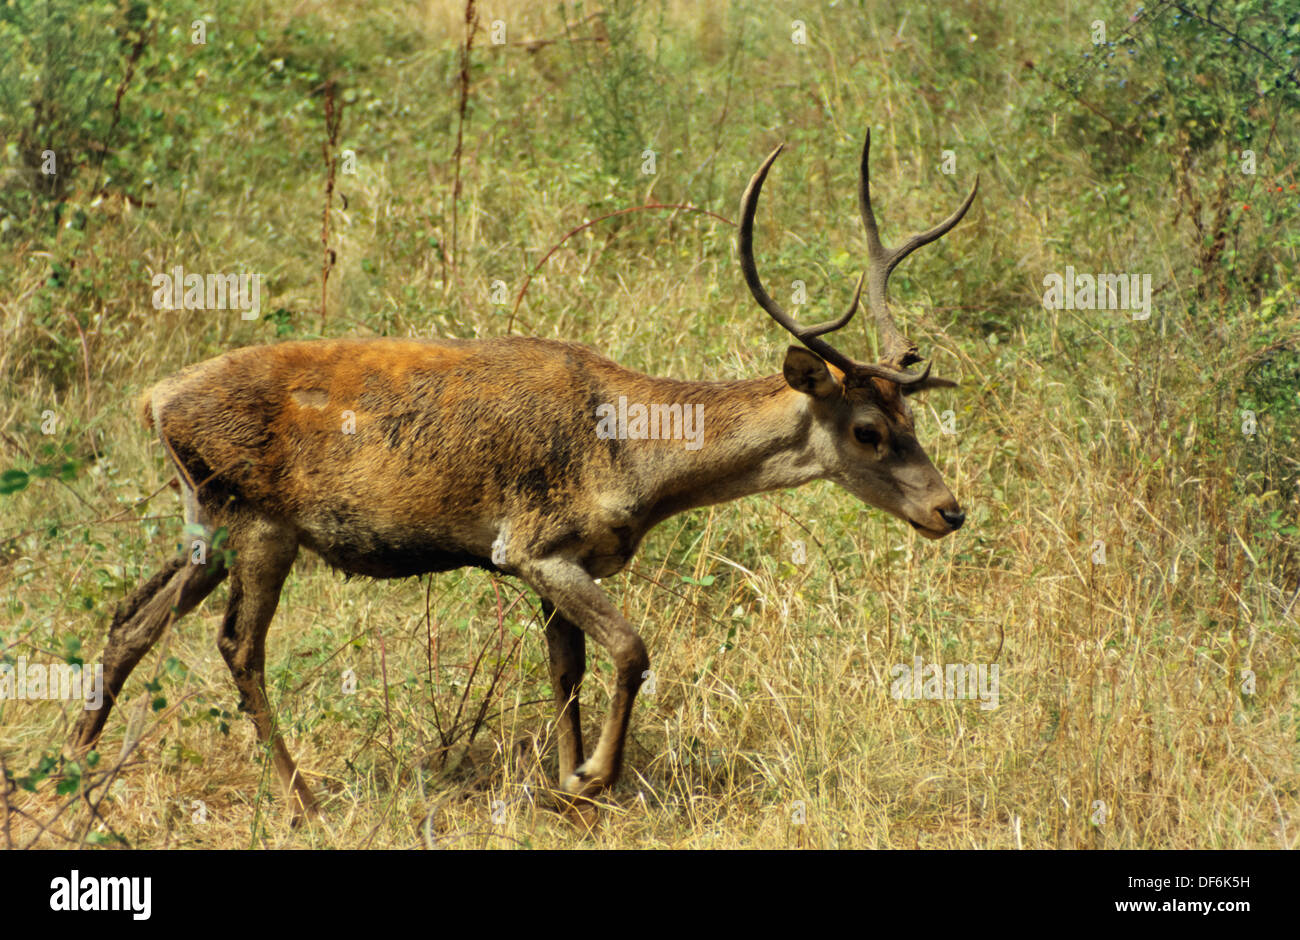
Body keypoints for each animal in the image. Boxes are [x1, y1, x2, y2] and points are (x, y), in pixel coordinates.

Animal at [70, 130, 977, 821]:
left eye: (914, 421)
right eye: (867, 430)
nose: (950, 510)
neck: (638, 459)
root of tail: (154, 399)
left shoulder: (559, 563)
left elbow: (567, 671)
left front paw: (565, 780)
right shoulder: (534, 545)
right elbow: (632, 650)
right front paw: (589, 779)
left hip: (208, 518)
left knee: (131, 616)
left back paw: (77, 764)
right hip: (260, 520)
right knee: (237, 646)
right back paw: (303, 798)